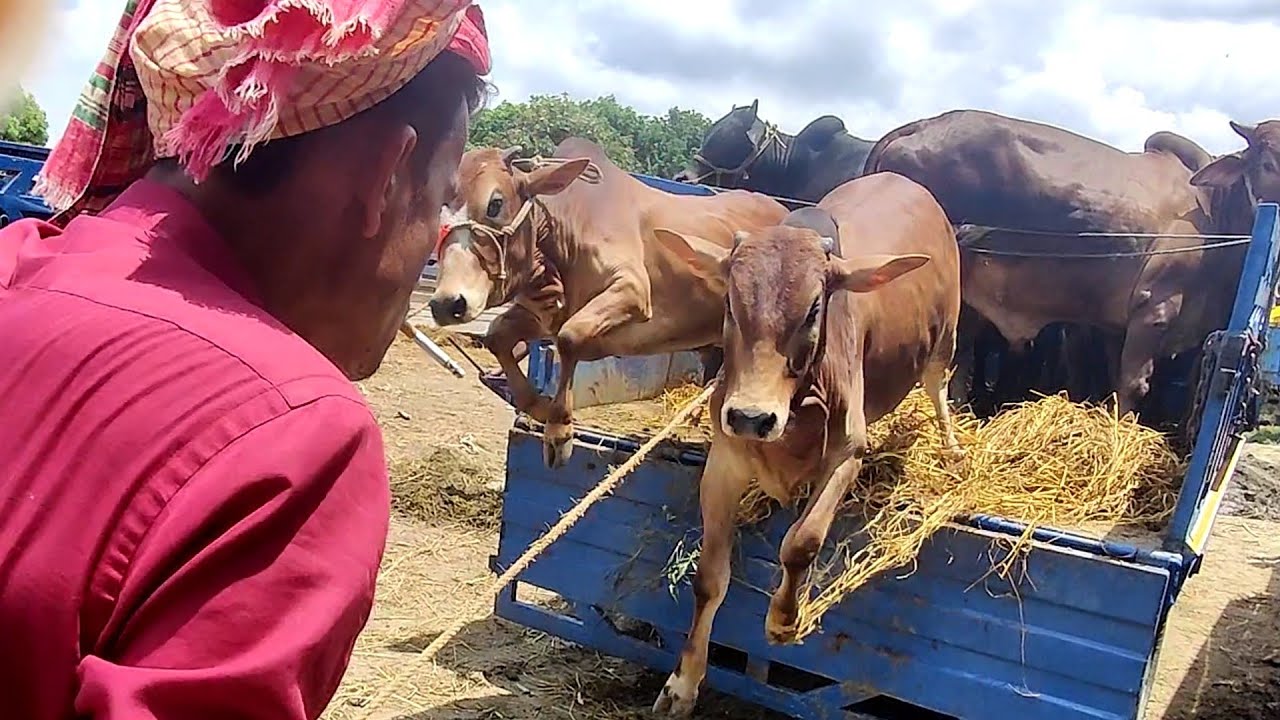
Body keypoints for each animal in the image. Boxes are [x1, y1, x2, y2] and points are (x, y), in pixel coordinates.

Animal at [428, 137, 788, 467]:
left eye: (495, 203)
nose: (447, 303)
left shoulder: (632, 289)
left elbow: (569, 338)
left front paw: (560, 433)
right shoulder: (542, 315)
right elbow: (497, 335)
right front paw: (539, 407)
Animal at [648, 172, 963, 716]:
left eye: (814, 308)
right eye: (731, 303)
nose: (751, 416)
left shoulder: (845, 453)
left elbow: (801, 543)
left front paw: (783, 619)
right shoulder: (726, 460)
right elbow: (708, 577)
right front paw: (682, 685)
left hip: (944, 340)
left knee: (937, 389)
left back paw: (950, 448)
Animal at [863, 109, 1264, 420]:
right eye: (1265, 163)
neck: (1213, 213)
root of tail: (917, 126)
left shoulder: (1113, 326)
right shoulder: (1155, 307)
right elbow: (1134, 384)